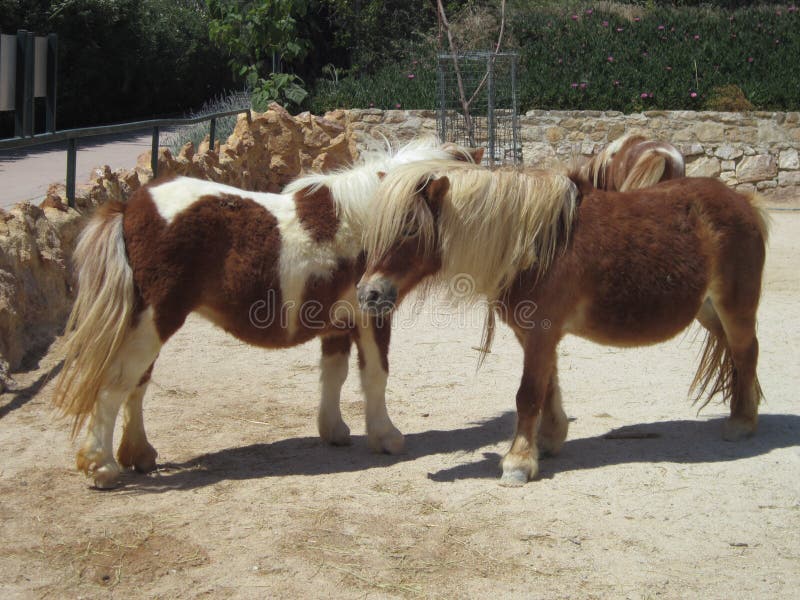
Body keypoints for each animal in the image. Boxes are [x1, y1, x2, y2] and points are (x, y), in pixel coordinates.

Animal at [52, 138, 483, 488]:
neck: (371, 222)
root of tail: (130, 207)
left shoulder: (338, 323)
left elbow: (335, 375)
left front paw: (334, 430)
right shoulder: (372, 315)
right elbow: (375, 376)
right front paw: (385, 436)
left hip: (147, 324)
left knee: (136, 384)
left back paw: (138, 454)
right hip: (154, 321)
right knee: (115, 384)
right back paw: (101, 467)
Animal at [356, 160, 768, 485]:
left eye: (411, 228)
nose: (368, 295)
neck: (534, 246)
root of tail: (743, 202)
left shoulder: (541, 332)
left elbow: (528, 394)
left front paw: (518, 463)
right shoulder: (535, 335)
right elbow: (548, 385)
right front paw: (549, 440)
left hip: (735, 308)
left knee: (746, 353)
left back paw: (742, 423)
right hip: (708, 311)